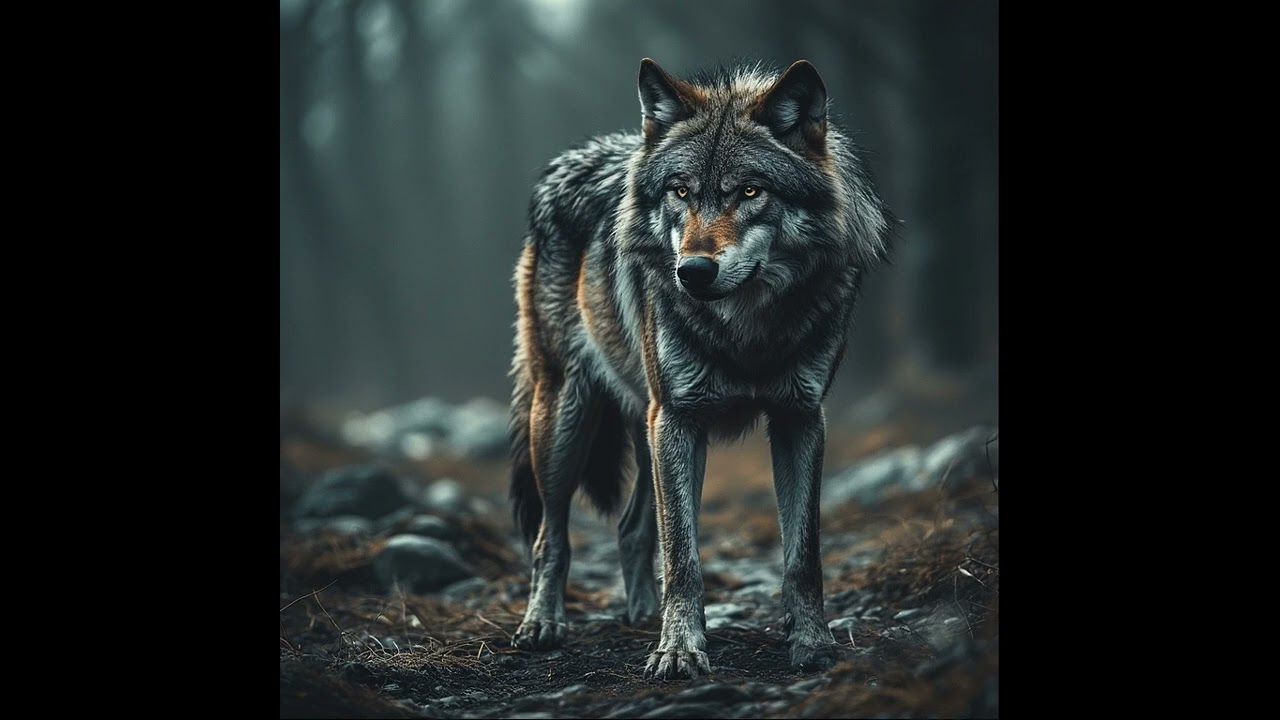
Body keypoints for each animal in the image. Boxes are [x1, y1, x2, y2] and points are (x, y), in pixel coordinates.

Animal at [507, 58, 893, 680]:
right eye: (680, 191)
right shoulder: (680, 420)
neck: (748, 330)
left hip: (644, 426)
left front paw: (812, 643)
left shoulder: (799, 419)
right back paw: (544, 623)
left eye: (751, 191)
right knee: (551, 536)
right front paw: (679, 650)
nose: (691, 272)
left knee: (632, 528)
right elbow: (683, 555)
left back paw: (641, 614)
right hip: (569, 419)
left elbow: (803, 555)